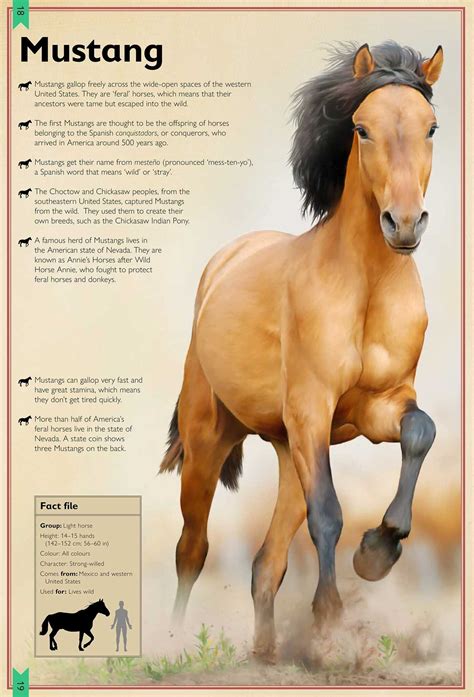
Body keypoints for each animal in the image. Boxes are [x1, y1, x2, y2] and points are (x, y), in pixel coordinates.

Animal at [159, 41, 443, 662]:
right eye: (362, 128)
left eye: (432, 127)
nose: (404, 224)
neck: (365, 288)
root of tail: (223, 262)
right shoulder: (313, 408)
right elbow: (329, 515)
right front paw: (330, 615)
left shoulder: (378, 407)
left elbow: (420, 432)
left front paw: (378, 551)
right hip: (210, 439)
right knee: (192, 548)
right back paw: (169, 646)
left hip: (290, 449)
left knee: (266, 563)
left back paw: (267, 654)